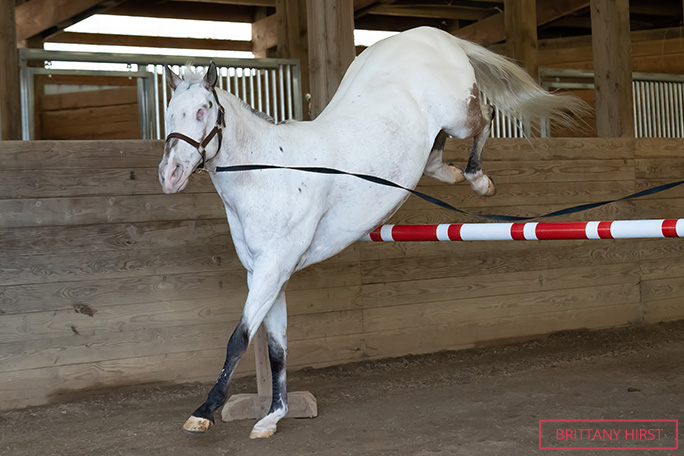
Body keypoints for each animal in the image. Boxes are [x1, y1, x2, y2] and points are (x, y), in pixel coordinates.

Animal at [158, 26, 587, 438]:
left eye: (203, 111)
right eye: (170, 114)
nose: (170, 175)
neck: (270, 172)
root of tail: (432, 34)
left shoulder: (272, 269)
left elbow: (239, 340)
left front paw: (204, 413)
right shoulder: (267, 274)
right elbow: (276, 349)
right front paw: (272, 417)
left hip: (459, 115)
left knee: (487, 116)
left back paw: (479, 180)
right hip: (432, 133)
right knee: (434, 156)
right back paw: (453, 174)